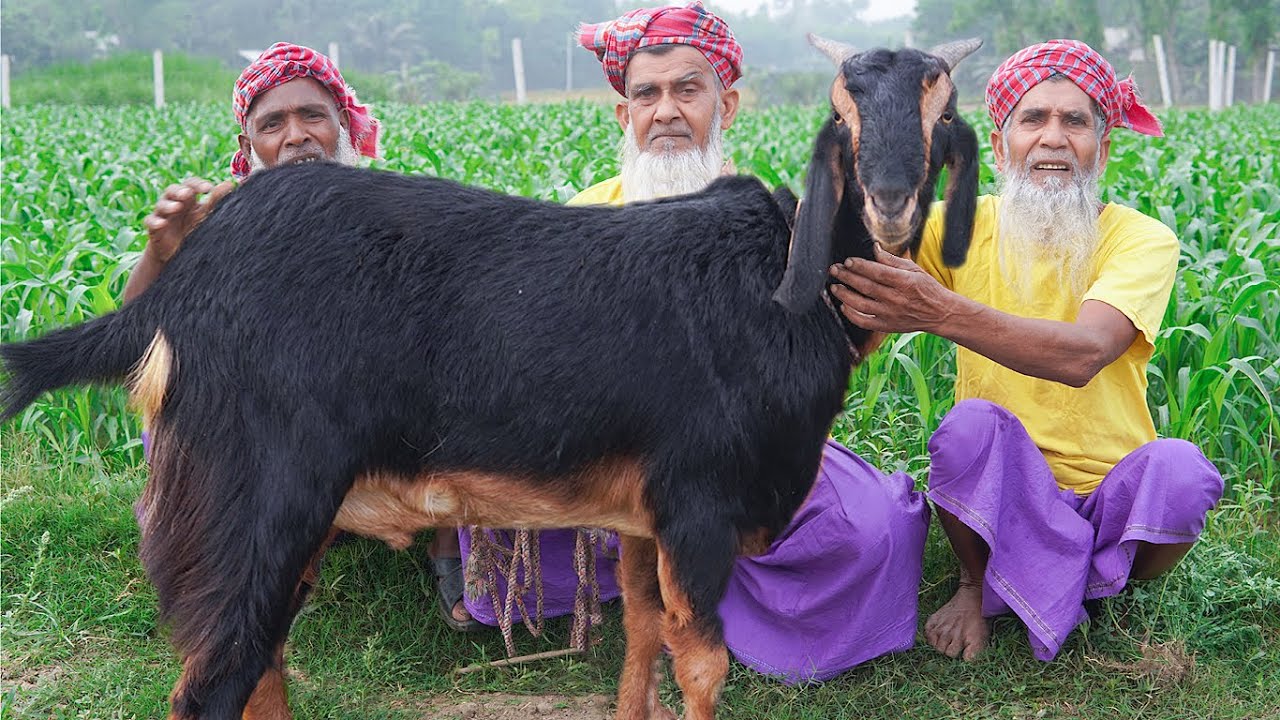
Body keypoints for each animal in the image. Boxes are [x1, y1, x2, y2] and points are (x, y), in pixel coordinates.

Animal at [1, 37, 981, 720]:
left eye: (940, 108)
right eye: (844, 112)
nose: (892, 204)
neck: (785, 281)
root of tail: (179, 290)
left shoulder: (641, 515)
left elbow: (640, 642)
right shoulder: (698, 500)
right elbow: (702, 664)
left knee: (260, 663)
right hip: (253, 496)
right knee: (216, 678)